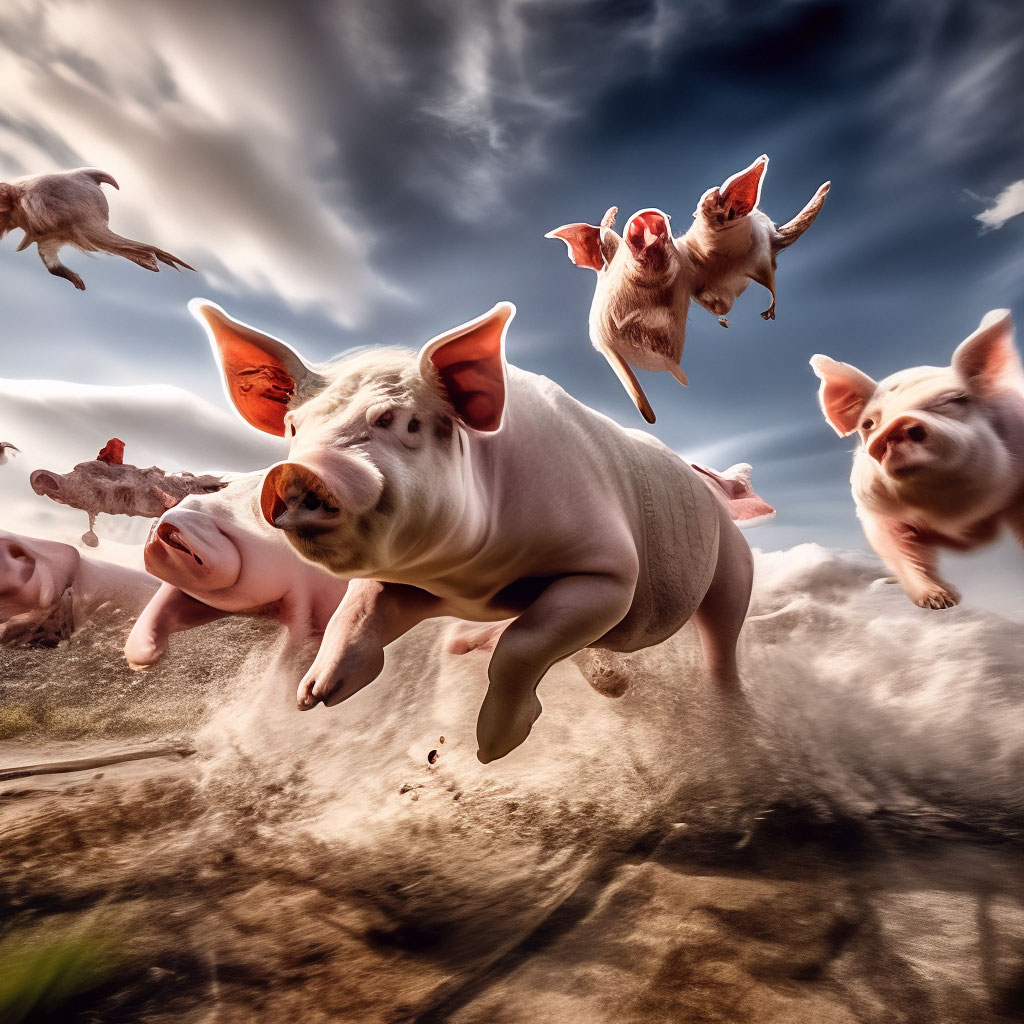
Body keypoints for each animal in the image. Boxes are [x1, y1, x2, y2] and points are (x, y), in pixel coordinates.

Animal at [191, 297, 755, 763]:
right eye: (293, 428)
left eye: (404, 423)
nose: (295, 472)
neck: (469, 582)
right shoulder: (412, 583)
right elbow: (356, 610)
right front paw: (313, 697)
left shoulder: (609, 574)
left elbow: (523, 645)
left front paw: (491, 749)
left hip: (733, 564)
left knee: (722, 634)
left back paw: (730, 718)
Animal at [810, 309, 1024, 609]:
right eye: (868, 424)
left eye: (954, 400)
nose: (894, 426)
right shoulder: (875, 514)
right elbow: (903, 556)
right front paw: (940, 602)